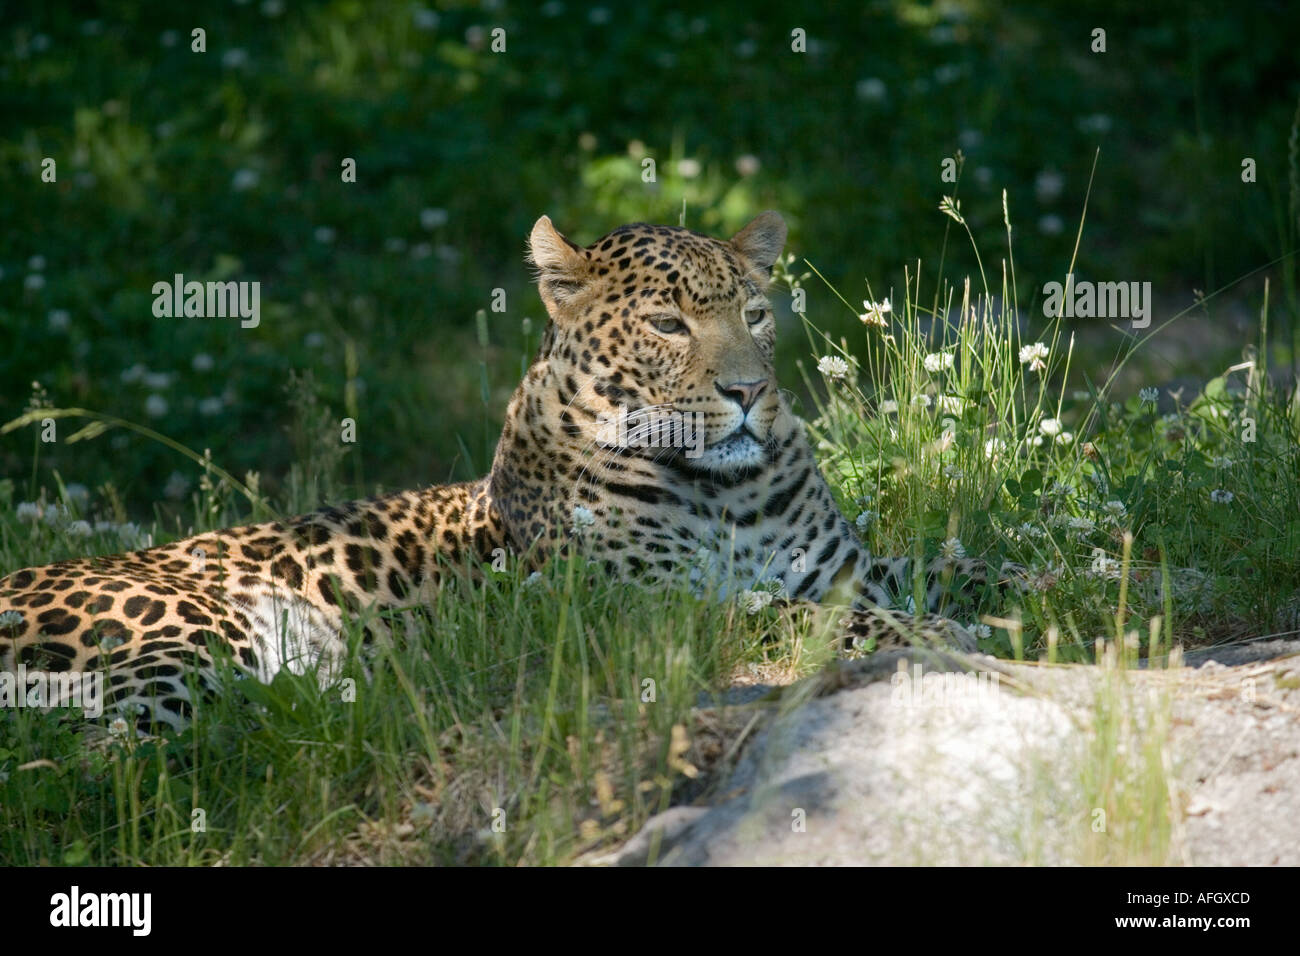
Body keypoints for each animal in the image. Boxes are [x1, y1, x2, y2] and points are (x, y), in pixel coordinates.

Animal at [0, 211, 1017, 734]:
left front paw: (1018, 599)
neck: (724, 489)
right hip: (182, 639)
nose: (749, 392)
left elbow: (962, 567)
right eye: (668, 324)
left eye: (756, 314)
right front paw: (943, 639)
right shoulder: (648, 608)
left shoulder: (848, 563)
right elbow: (803, 617)